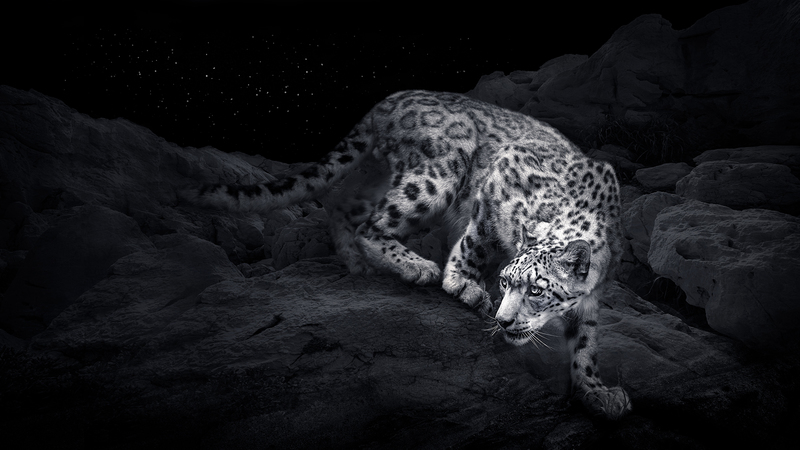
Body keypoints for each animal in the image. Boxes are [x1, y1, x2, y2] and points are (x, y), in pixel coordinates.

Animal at [185, 90, 632, 419]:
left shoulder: (593, 297)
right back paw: (415, 266)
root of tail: (391, 99)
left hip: (382, 175)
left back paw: (358, 264)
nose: (503, 321)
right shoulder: (494, 191)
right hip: (440, 170)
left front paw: (598, 392)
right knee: (371, 222)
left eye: (536, 290)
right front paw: (465, 285)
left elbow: (586, 343)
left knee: (344, 205)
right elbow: (473, 241)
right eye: (507, 282)